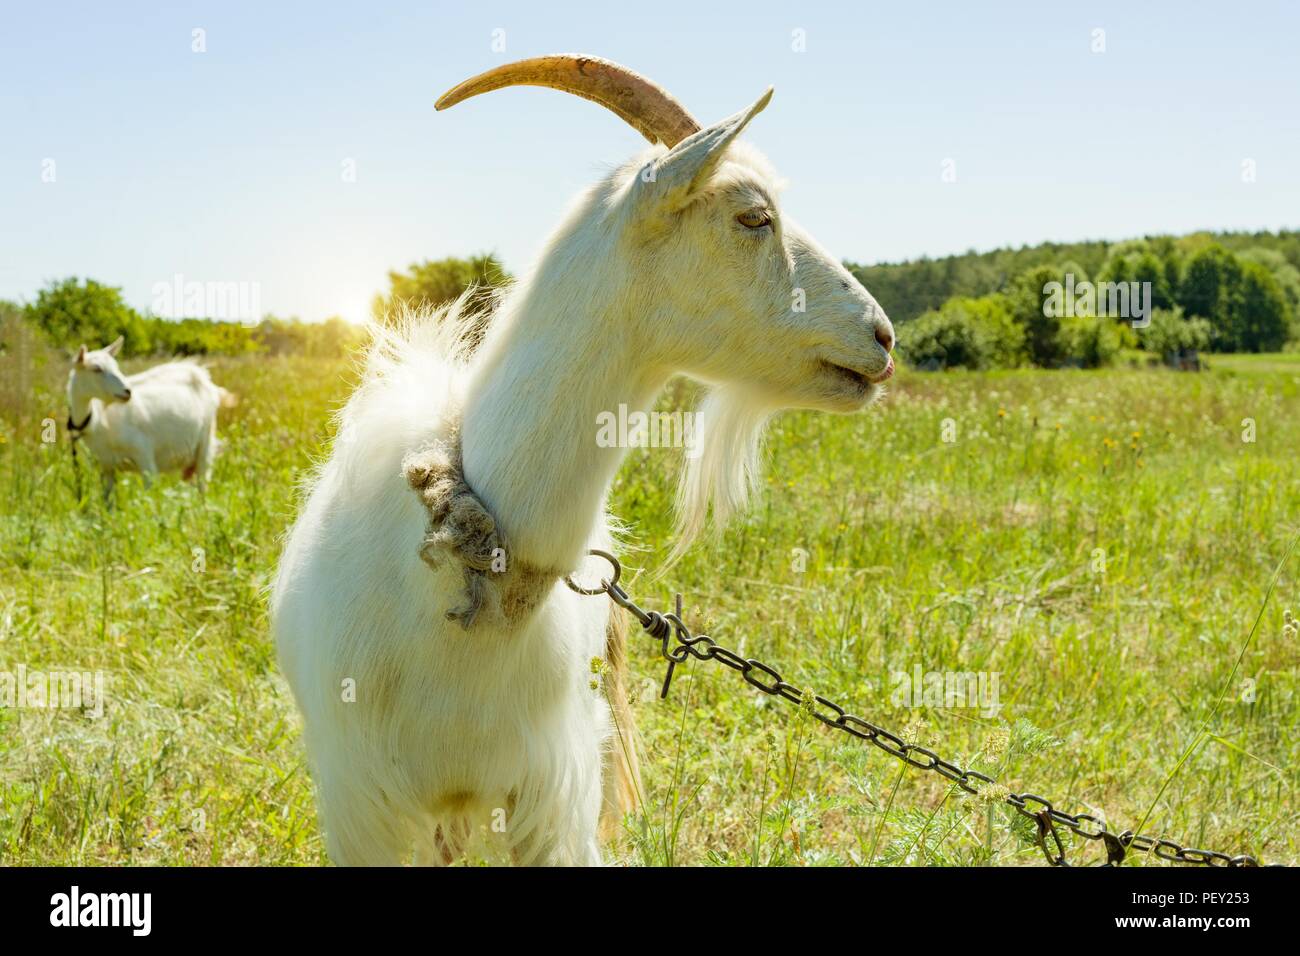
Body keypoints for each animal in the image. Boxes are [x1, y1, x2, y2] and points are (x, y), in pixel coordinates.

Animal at [67, 337, 233, 499]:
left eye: (116, 366)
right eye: (96, 369)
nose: (127, 391)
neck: (100, 418)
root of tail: (202, 375)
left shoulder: (144, 456)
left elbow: (149, 496)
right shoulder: (106, 466)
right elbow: (107, 500)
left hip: (206, 440)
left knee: (202, 483)